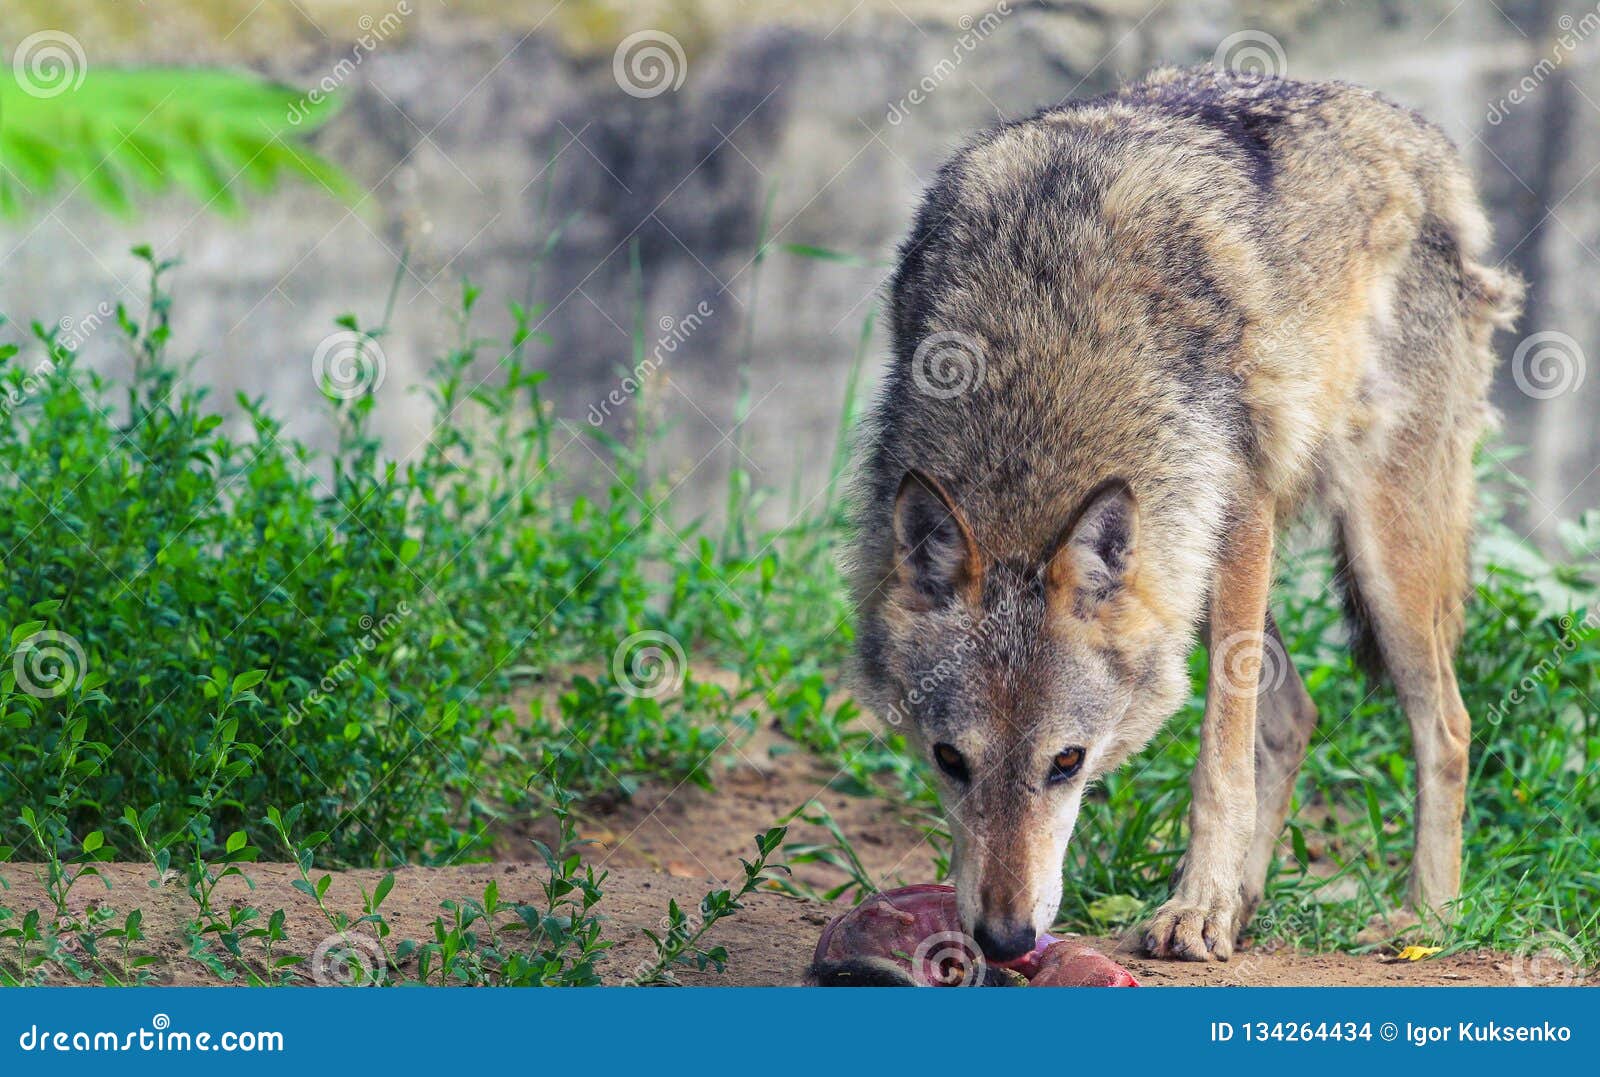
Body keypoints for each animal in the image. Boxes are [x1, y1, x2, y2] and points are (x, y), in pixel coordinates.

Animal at [848, 66, 1521, 963]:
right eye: (949, 758)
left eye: (1068, 761)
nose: (1005, 937)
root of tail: (1414, 131)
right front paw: (1214, 903)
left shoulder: (1237, 512)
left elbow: (1219, 758)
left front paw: (1196, 908)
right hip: (1186, 570)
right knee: (1294, 717)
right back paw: (1250, 901)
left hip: (1380, 552)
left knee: (1444, 724)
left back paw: (1427, 918)